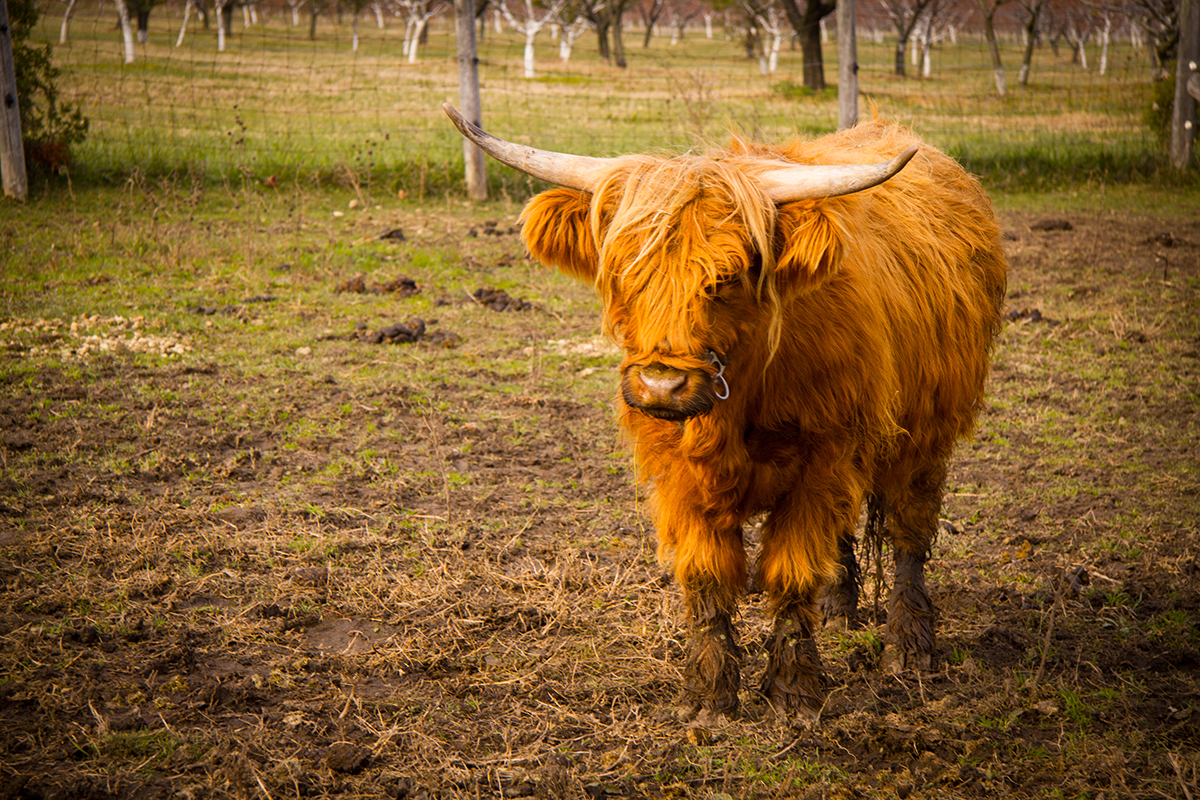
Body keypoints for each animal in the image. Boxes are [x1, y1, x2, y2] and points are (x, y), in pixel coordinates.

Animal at [444, 104, 1007, 723]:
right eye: (624, 272)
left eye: (726, 276)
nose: (661, 385)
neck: (741, 399)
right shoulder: (678, 473)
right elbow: (706, 574)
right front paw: (708, 696)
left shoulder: (821, 461)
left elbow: (791, 572)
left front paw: (793, 691)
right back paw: (838, 609)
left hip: (928, 434)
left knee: (910, 529)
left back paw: (909, 648)